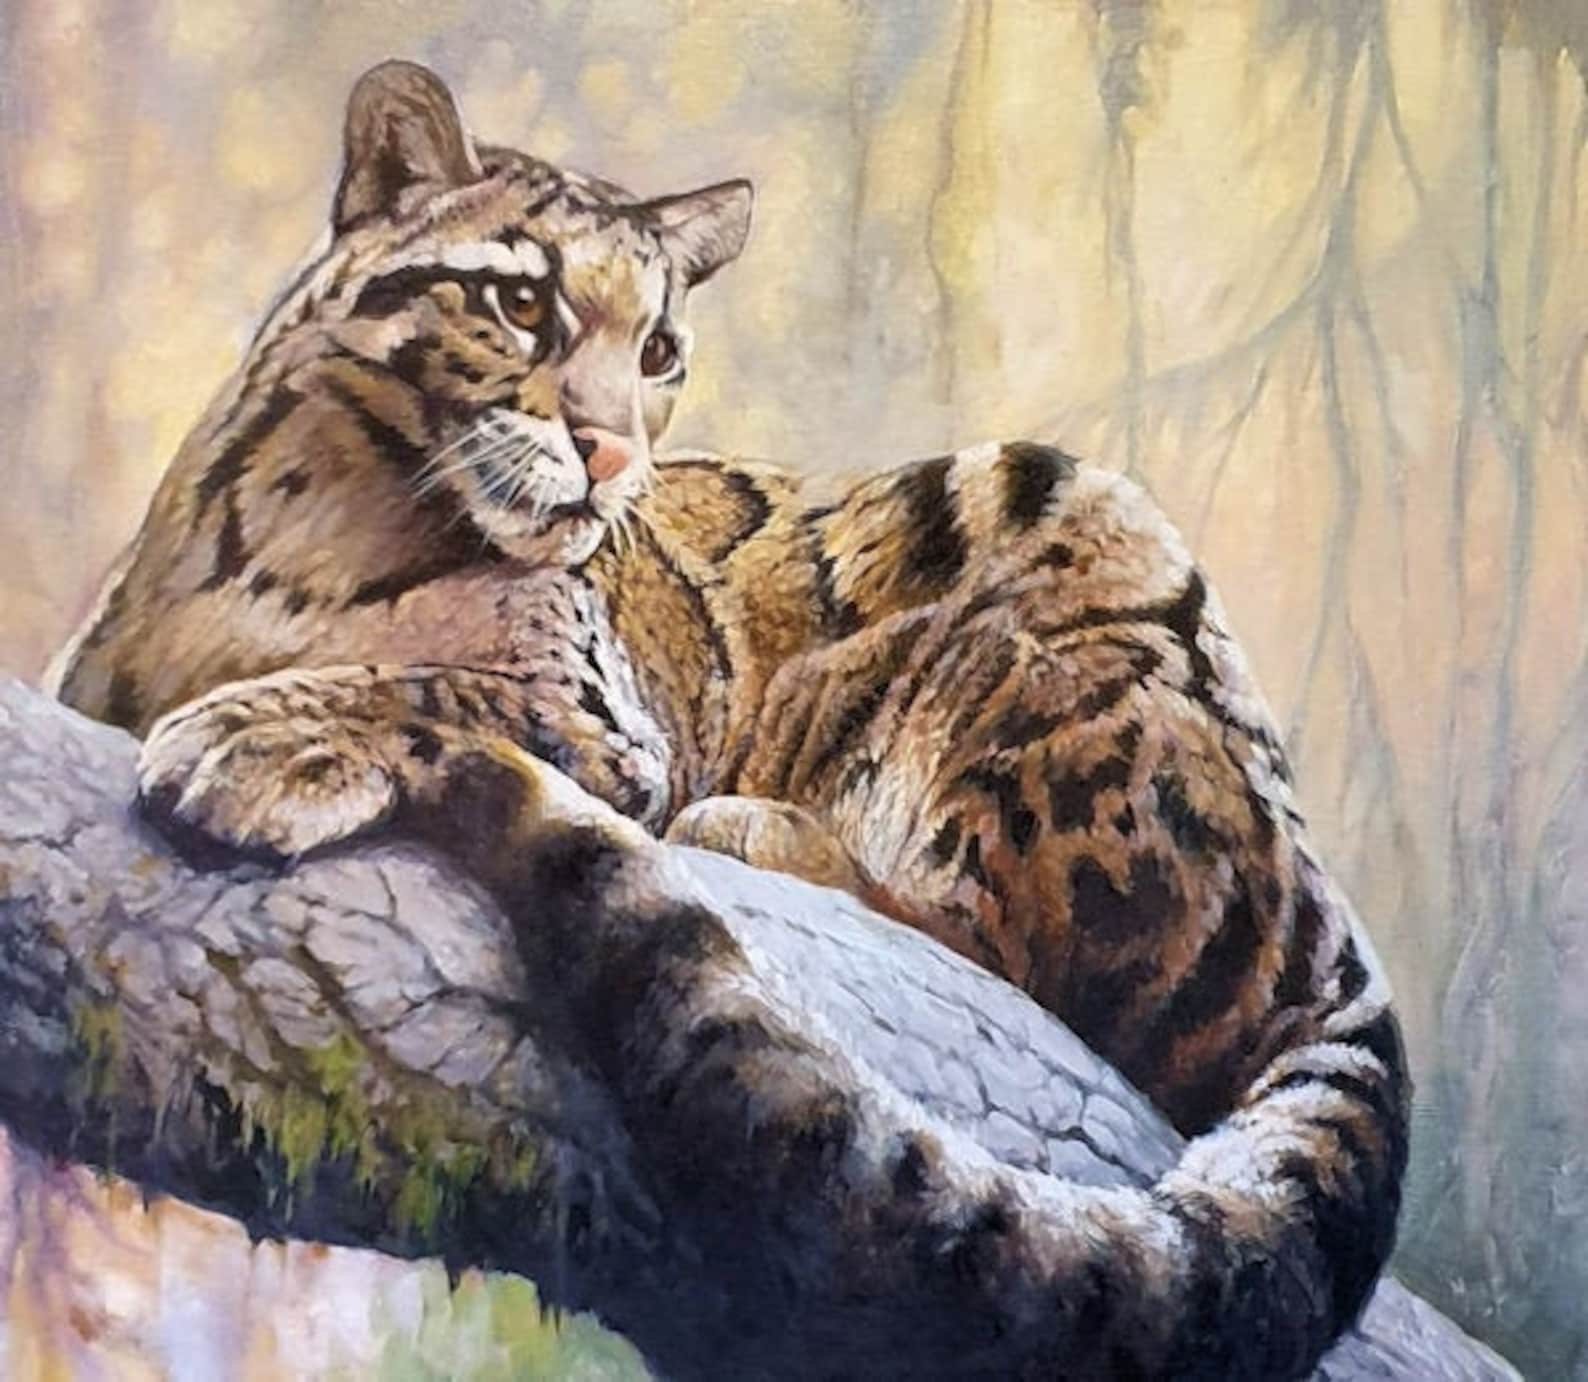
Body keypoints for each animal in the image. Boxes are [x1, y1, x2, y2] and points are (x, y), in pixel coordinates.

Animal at [51, 60, 1409, 1379]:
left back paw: (761, 827)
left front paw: (261, 737)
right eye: (523, 305)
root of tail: (1319, 908)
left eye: (659, 349)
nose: (607, 452)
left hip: (1061, 546)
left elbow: (419, 681)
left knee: (1024, 956)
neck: (319, 513)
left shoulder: (601, 722)